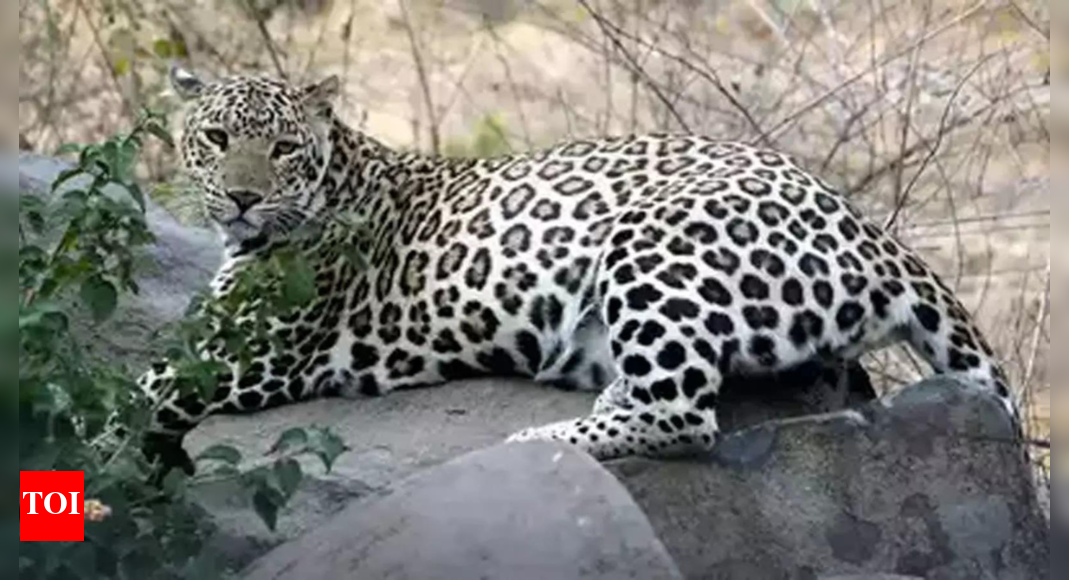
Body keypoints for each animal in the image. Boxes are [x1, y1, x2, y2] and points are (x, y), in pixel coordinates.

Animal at [136, 66, 1019, 469]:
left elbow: (126, 399)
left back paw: (533, 440)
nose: (243, 198)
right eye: (216, 138)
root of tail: (867, 225)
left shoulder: (242, 357)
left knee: (682, 416)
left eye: (284, 148)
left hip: (652, 241)